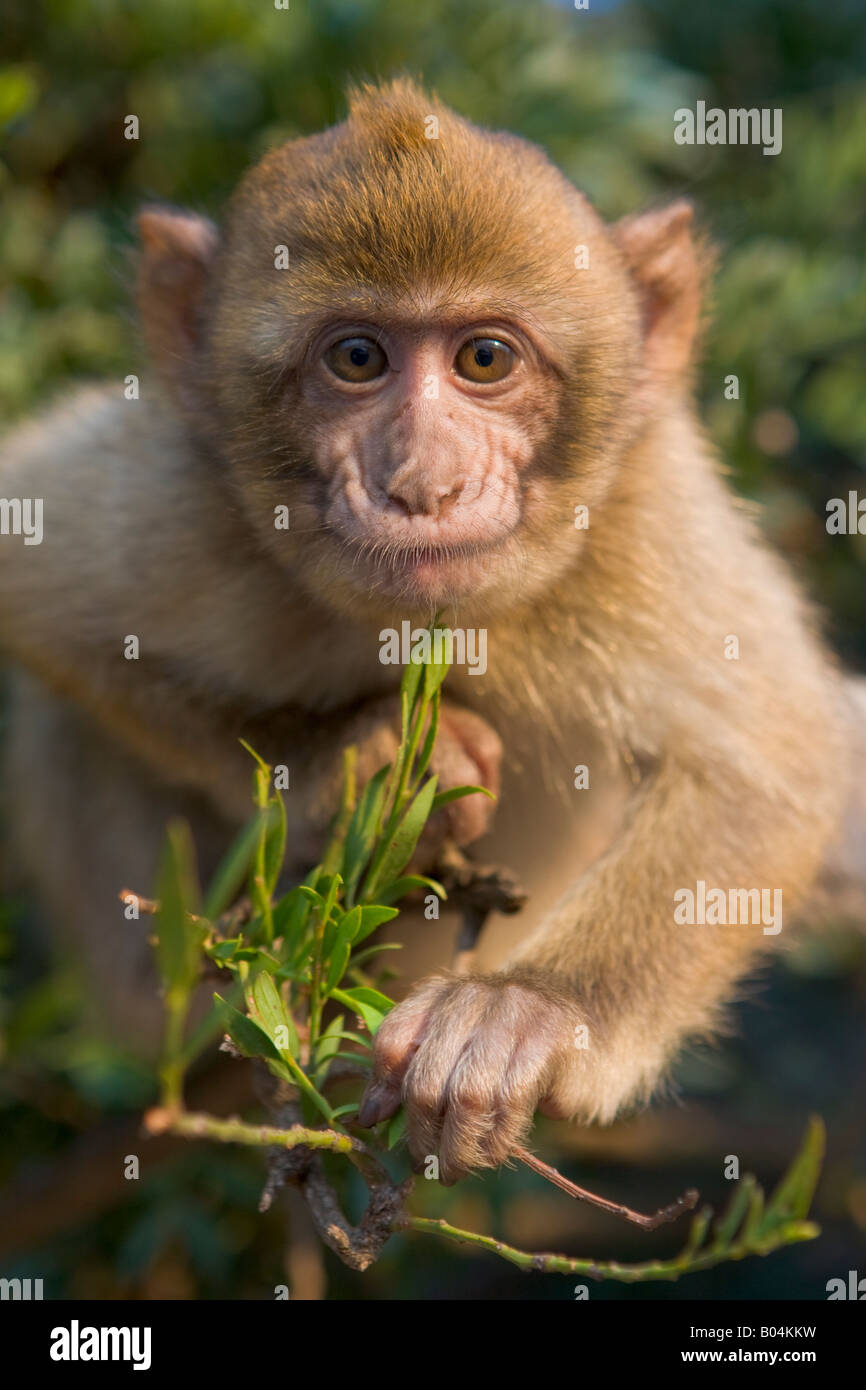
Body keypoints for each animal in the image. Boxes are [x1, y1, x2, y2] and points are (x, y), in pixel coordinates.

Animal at [1, 79, 864, 1184]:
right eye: (356, 357)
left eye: (483, 358)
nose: (422, 483)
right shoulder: (177, 494)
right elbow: (38, 601)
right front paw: (357, 756)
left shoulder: (642, 517)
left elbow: (770, 768)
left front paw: (526, 1011)